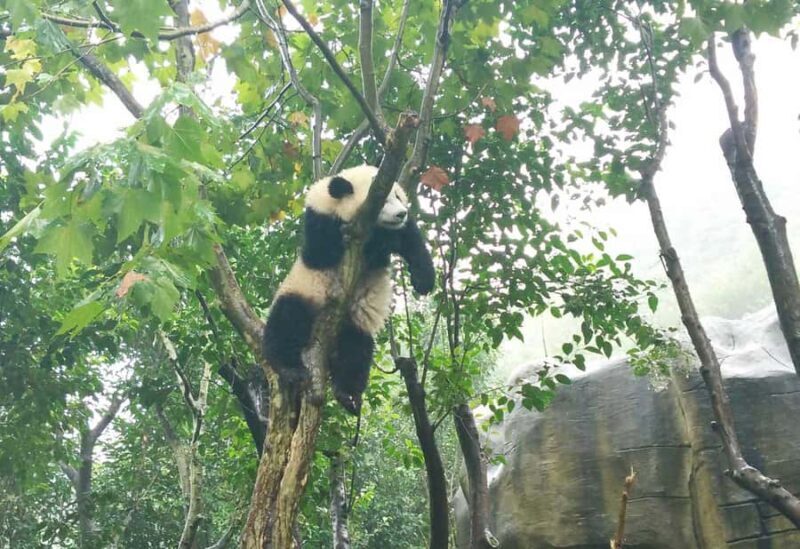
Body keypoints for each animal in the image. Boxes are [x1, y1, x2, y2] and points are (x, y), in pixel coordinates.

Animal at [262, 164, 435, 414]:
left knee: (355, 349)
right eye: (384, 199)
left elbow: (411, 243)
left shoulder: (398, 232)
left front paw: (423, 281)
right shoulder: (318, 220)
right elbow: (323, 251)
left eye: (399, 196)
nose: (401, 213)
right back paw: (290, 369)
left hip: (353, 319)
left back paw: (348, 394)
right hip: (303, 291)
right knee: (288, 319)